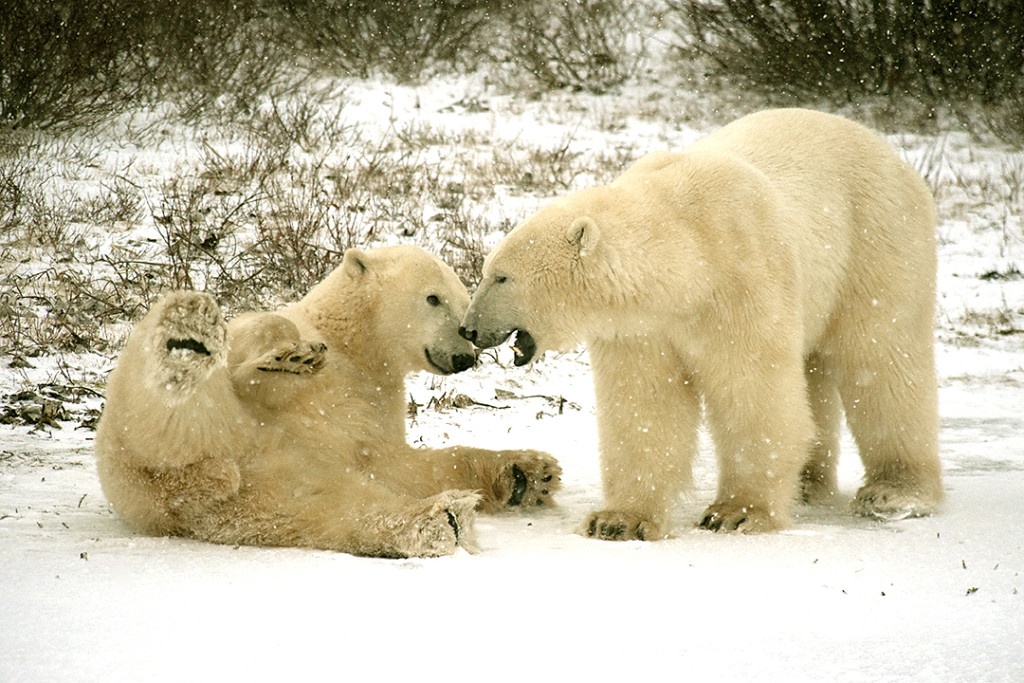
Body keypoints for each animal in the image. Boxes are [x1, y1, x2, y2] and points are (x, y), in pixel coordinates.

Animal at [94, 244, 561, 558]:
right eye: (433, 298)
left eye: (464, 306)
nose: (465, 357)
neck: (354, 345)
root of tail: (177, 490)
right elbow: (258, 338)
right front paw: (288, 358)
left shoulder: (373, 404)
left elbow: (396, 464)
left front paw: (531, 473)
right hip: (152, 428)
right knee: (168, 408)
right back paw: (186, 335)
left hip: (265, 494)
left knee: (337, 510)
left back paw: (444, 521)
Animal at [459, 108, 943, 541]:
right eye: (487, 270)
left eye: (501, 276)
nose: (468, 329)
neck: (690, 259)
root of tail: (891, 153)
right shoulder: (642, 327)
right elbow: (645, 406)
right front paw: (618, 520)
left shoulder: (742, 281)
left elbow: (753, 392)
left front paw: (738, 513)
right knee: (816, 372)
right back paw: (808, 484)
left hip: (875, 238)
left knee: (882, 358)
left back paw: (895, 492)